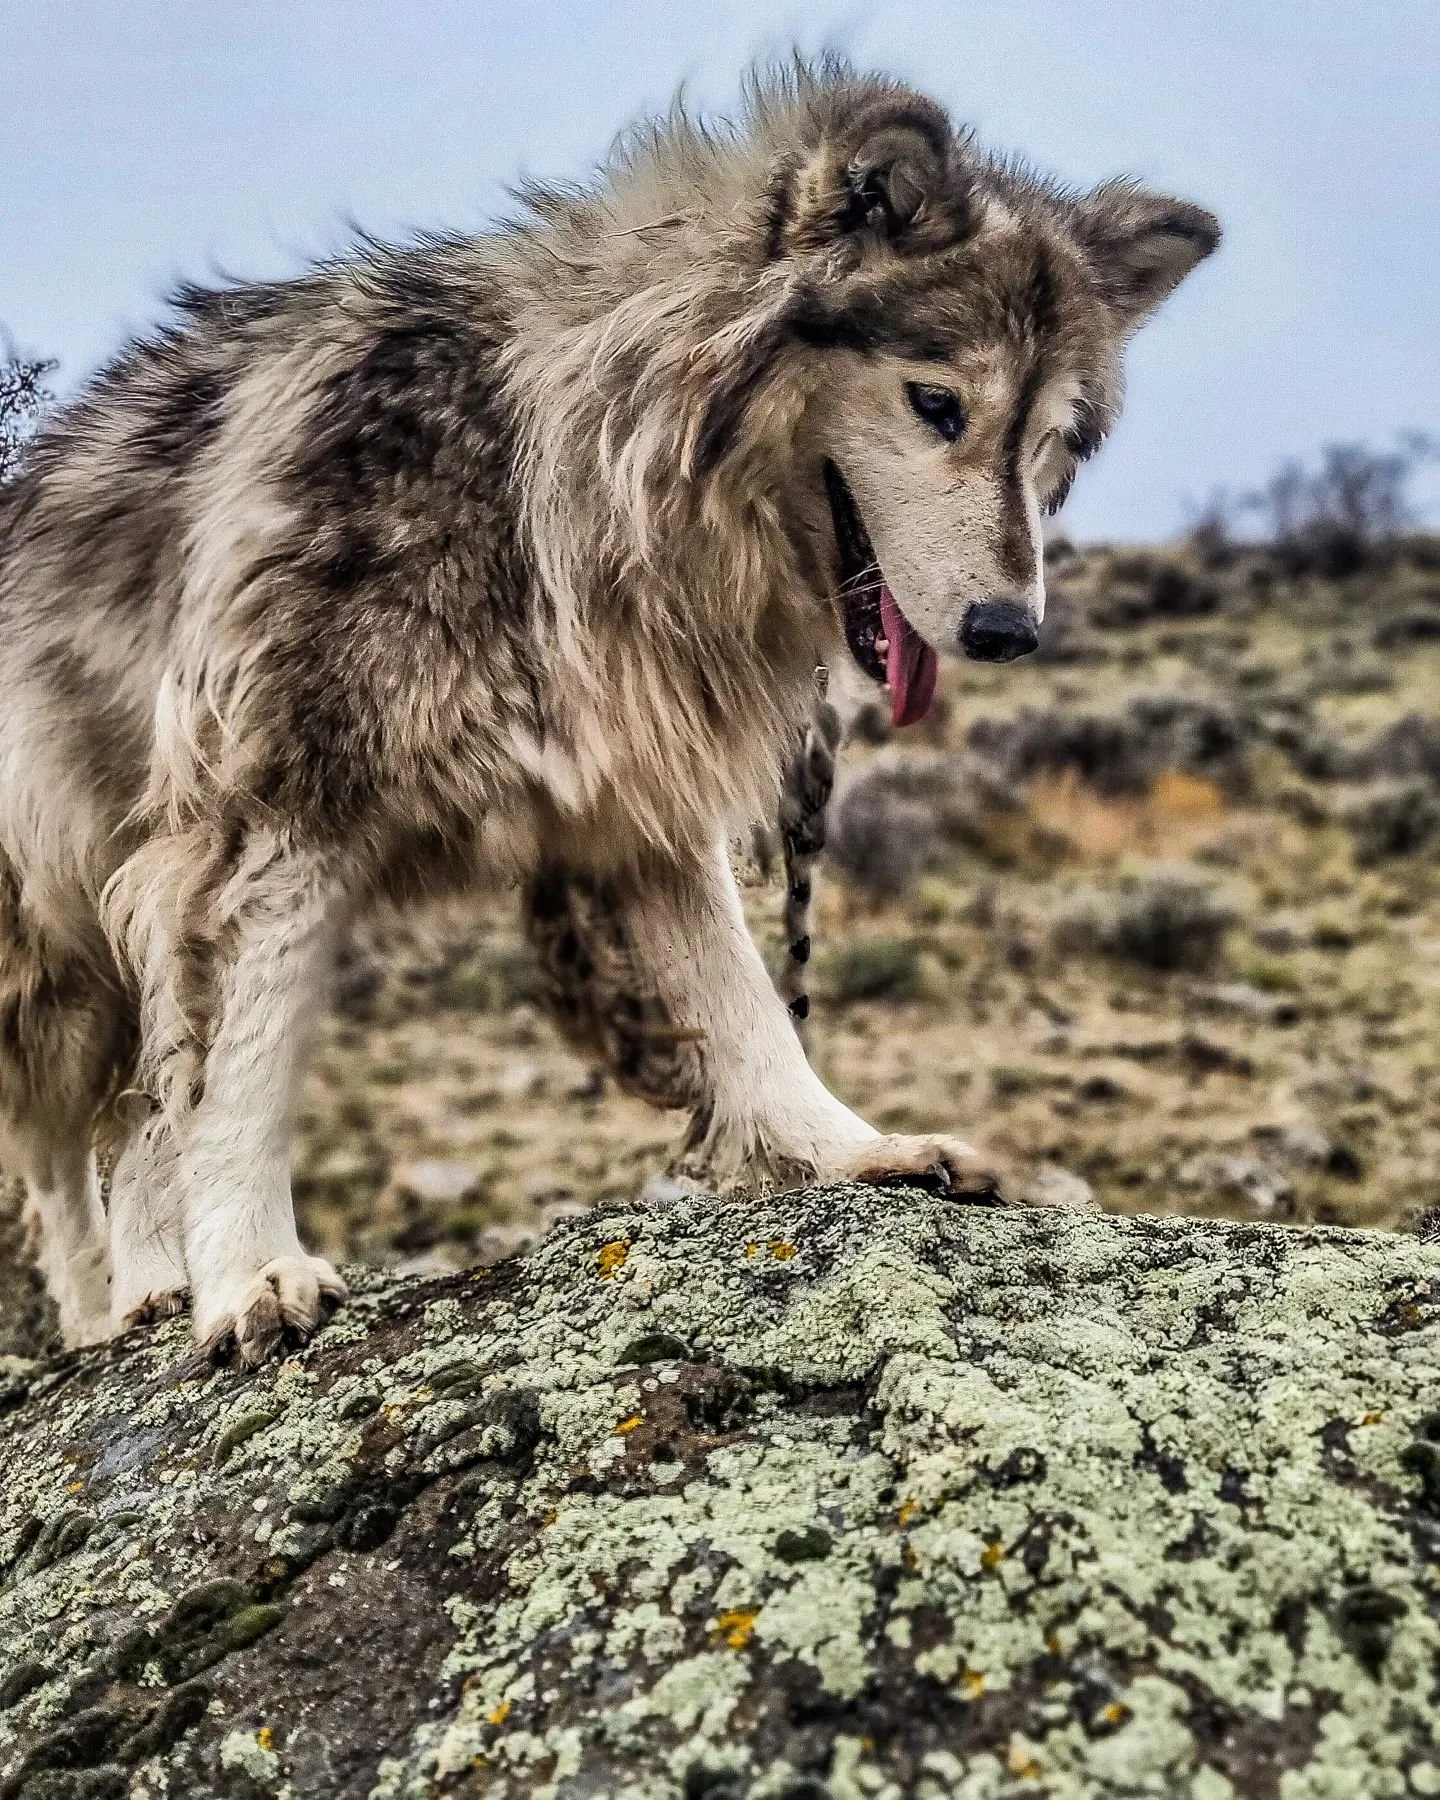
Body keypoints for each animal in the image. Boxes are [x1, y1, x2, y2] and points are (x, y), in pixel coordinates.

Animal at [0, 62, 1218, 1363]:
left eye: (1049, 441)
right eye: (938, 405)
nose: (1008, 630)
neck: (553, 463)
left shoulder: (641, 805)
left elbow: (751, 1010)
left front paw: (853, 1153)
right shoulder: (274, 819)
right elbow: (243, 1080)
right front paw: (249, 1277)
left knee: (134, 1124)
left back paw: (148, 1294)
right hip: (52, 960)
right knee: (68, 1166)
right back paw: (114, 1308)